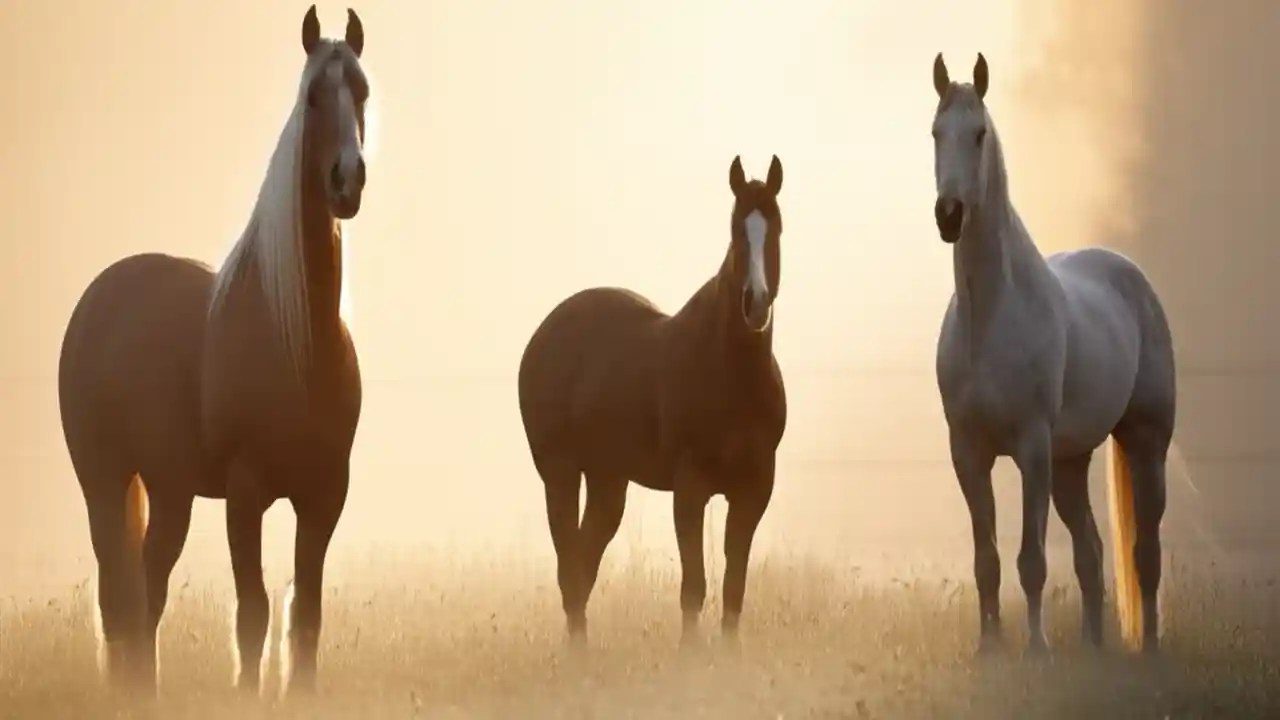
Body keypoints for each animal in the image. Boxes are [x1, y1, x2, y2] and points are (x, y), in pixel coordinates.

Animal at [57, 6, 369, 694]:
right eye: (313, 95)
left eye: (361, 91)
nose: (348, 179)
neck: (295, 338)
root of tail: (99, 296)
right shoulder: (246, 492)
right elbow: (252, 613)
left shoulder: (325, 493)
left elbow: (306, 615)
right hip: (105, 483)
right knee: (123, 601)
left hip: (170, 490)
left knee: (145, 594)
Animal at [518, 156, 787, 648]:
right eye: (736, 228)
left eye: (775, 226)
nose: (755, 303)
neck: (731, 373)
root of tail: (544, 335)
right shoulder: (690, 486)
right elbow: (694, 586)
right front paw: (689, 657)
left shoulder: (755, 488)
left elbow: (734, 588)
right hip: (560, 473)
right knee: (570, 567)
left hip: (608, 480)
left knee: (583, 563)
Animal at [930, 53, 1175, 655]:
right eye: (936, 133)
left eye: (979, 134)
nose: (949, 215)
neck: (990, 318)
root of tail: (1130, 274)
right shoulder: (968, 453)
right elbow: (988, 561)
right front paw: (989, 649)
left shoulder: (1032, 449)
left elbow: (1032, 561)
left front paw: (1037, 650)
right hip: (1070, 463)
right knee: (1091, 551)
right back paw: (1091, 648)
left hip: (1145, 443)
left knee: (1146, 553)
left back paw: (1148, 647)